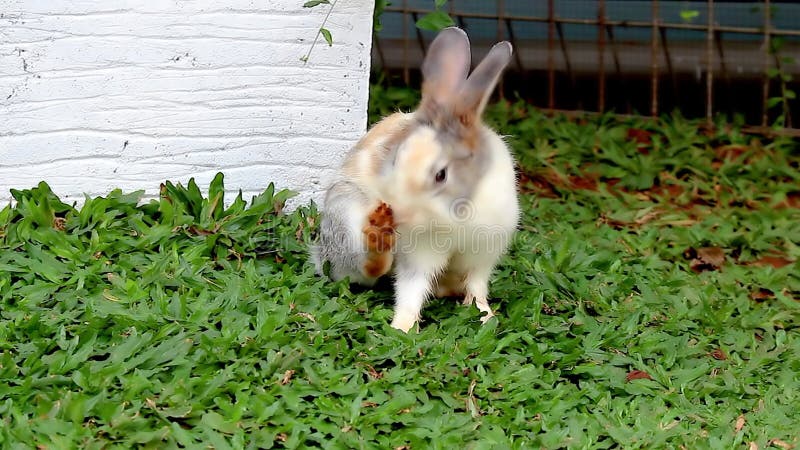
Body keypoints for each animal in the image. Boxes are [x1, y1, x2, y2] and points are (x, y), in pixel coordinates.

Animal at [311, 27, 520, 332]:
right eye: (395, 159)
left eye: (441, 174)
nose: (398, 212)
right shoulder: (420, 255)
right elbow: (411, 290)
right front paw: (403, 327)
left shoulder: (483, 254)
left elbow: (477, 287)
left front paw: (485, 316)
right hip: (344, 212)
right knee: (365, 270)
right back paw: (378, 234)